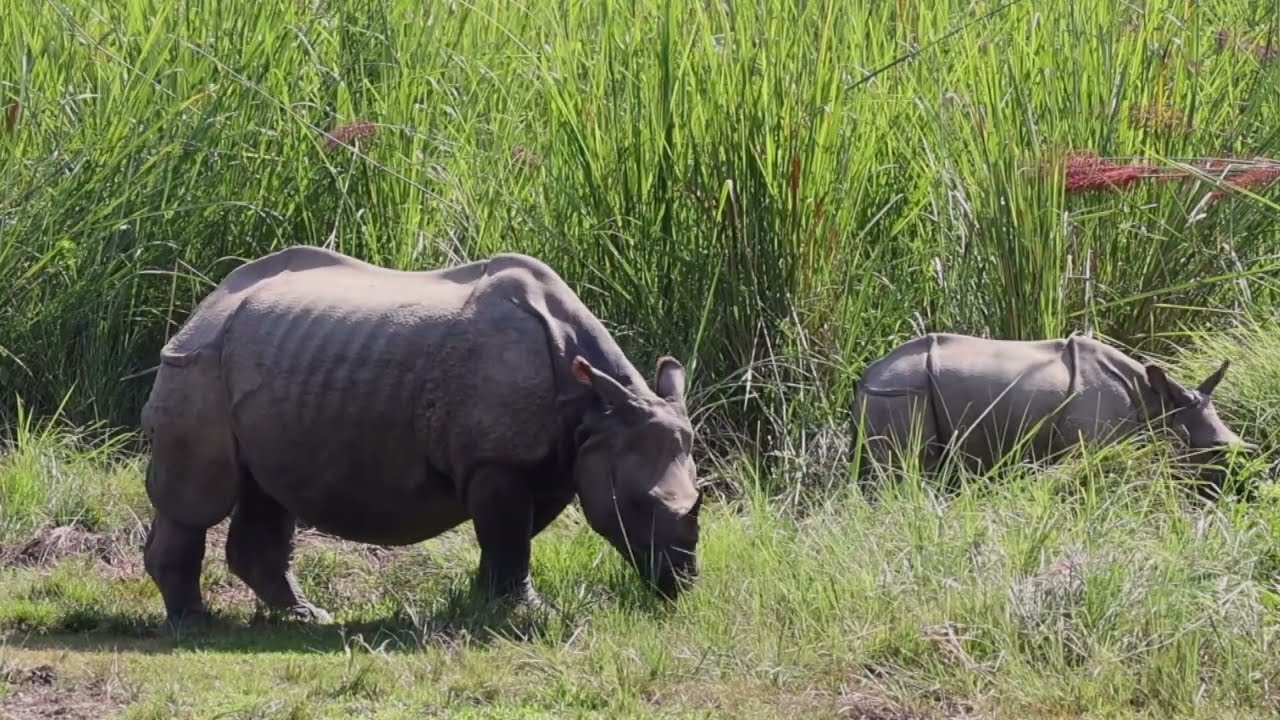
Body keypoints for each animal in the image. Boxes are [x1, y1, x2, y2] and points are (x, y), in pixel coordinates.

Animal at [139, 245, 702, 625]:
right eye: (639, 504)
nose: (682, 581)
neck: (597, 411)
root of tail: (209, 301)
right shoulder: (497, 458)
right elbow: (507, 535)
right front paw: (526, 615)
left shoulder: (556, 460)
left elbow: (510, 537)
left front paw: (489, 603)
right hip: (199, 363)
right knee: (200, 497)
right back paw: (194, 622)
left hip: (274, 358)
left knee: (267, 489)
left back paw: (305, 616)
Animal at [851, 332, 1248, 488]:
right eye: (1216, 452)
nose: (1241, 488)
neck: (1158, 404)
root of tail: (865, 377)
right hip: (900, 392)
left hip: (893, 391)